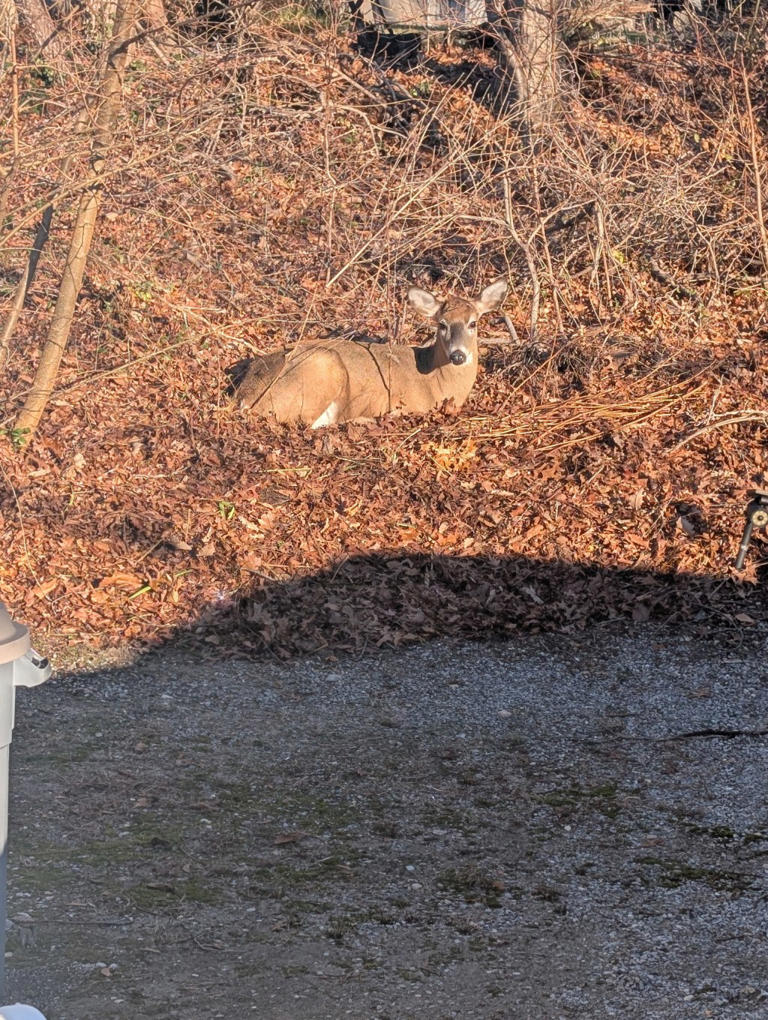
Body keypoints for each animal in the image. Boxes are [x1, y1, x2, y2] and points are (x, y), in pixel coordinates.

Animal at [235, 278, 509, 428]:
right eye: (442, 324)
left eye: (473, 323)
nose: (458, 355)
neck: (435, 382)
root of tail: (245, 397)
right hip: (322, 368)